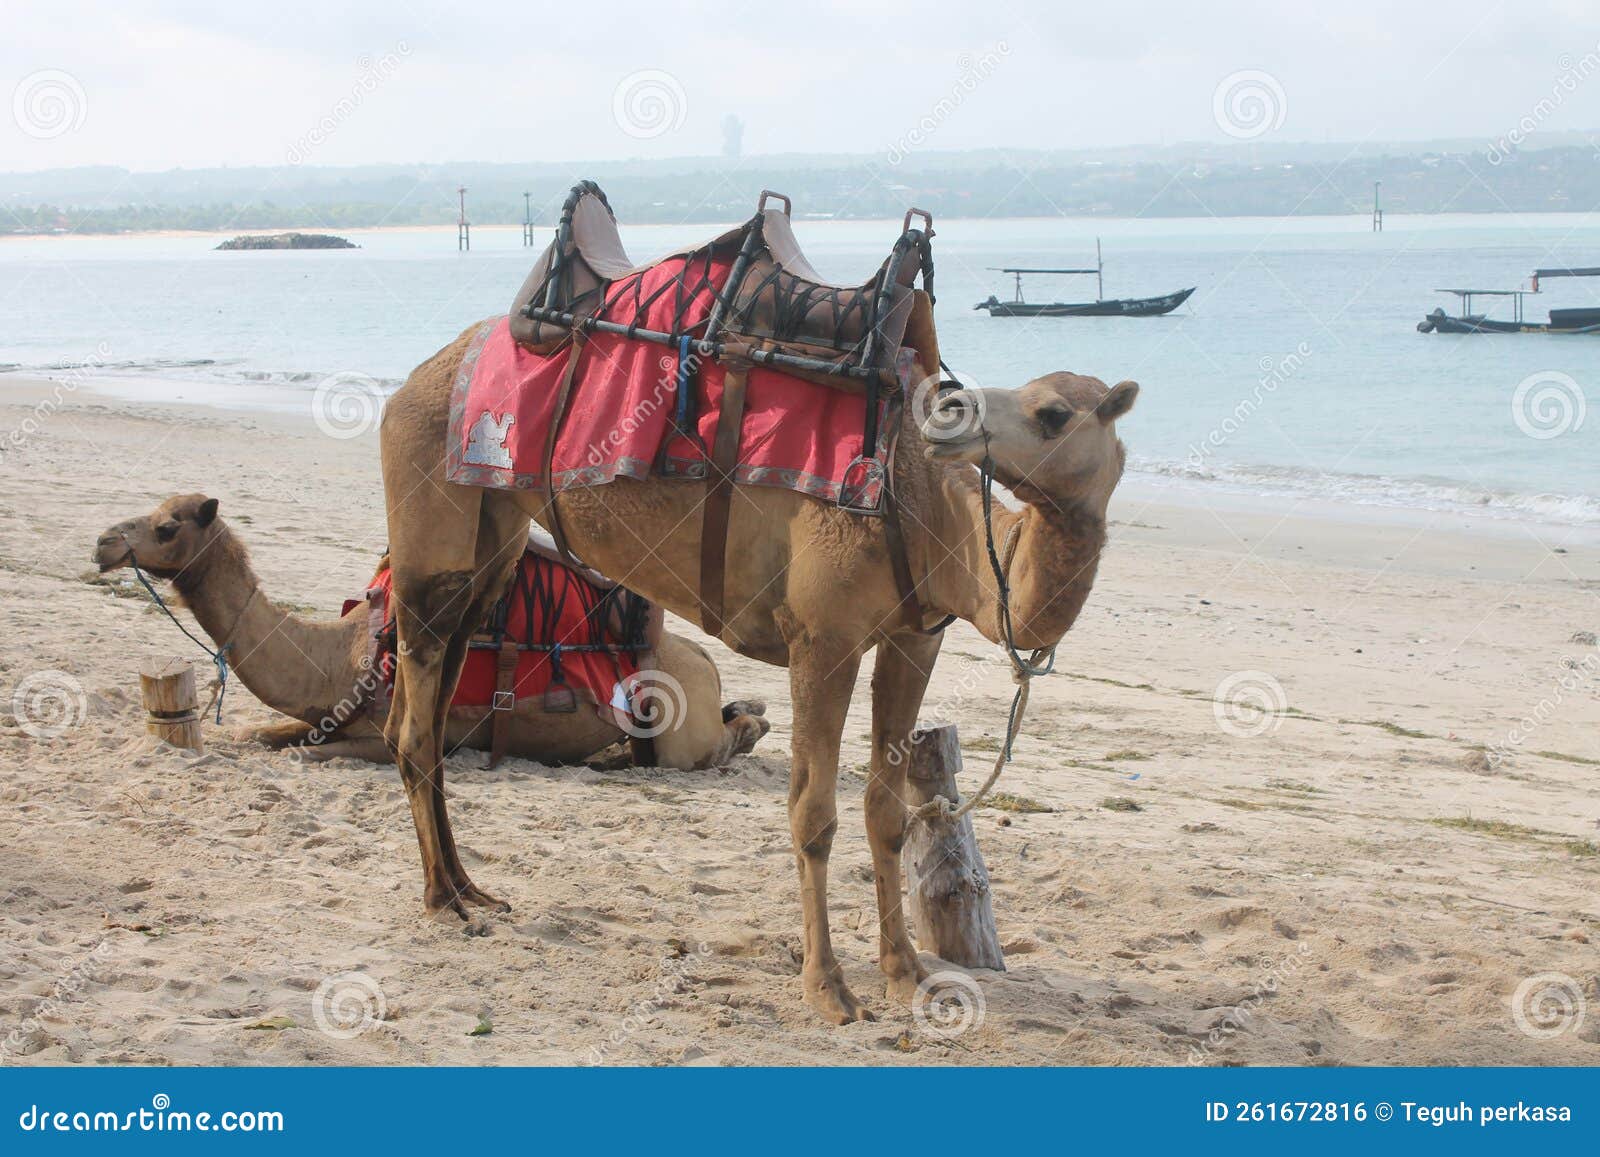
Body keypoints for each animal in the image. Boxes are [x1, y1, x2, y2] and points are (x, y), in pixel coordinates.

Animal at [93, 494, 770, 769]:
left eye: (167, 527)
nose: (104, 543)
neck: (338, 654)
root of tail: (702, 660)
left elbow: (316, 754)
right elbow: (262, 735)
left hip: (679, 730)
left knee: (720, 743)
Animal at [378, 294, 1136, 1022]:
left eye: (1051, 411)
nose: (947, 414)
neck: (925, 509)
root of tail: (413, 380)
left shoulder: (914, 638)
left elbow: (886, 813)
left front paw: (905, 972)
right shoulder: (821, 638)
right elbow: (813, 814)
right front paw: (828, 988)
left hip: (495, 542)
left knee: (434, 713)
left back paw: (469, 886)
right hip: (429, 529)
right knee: (414, 726)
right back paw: (443, 900)